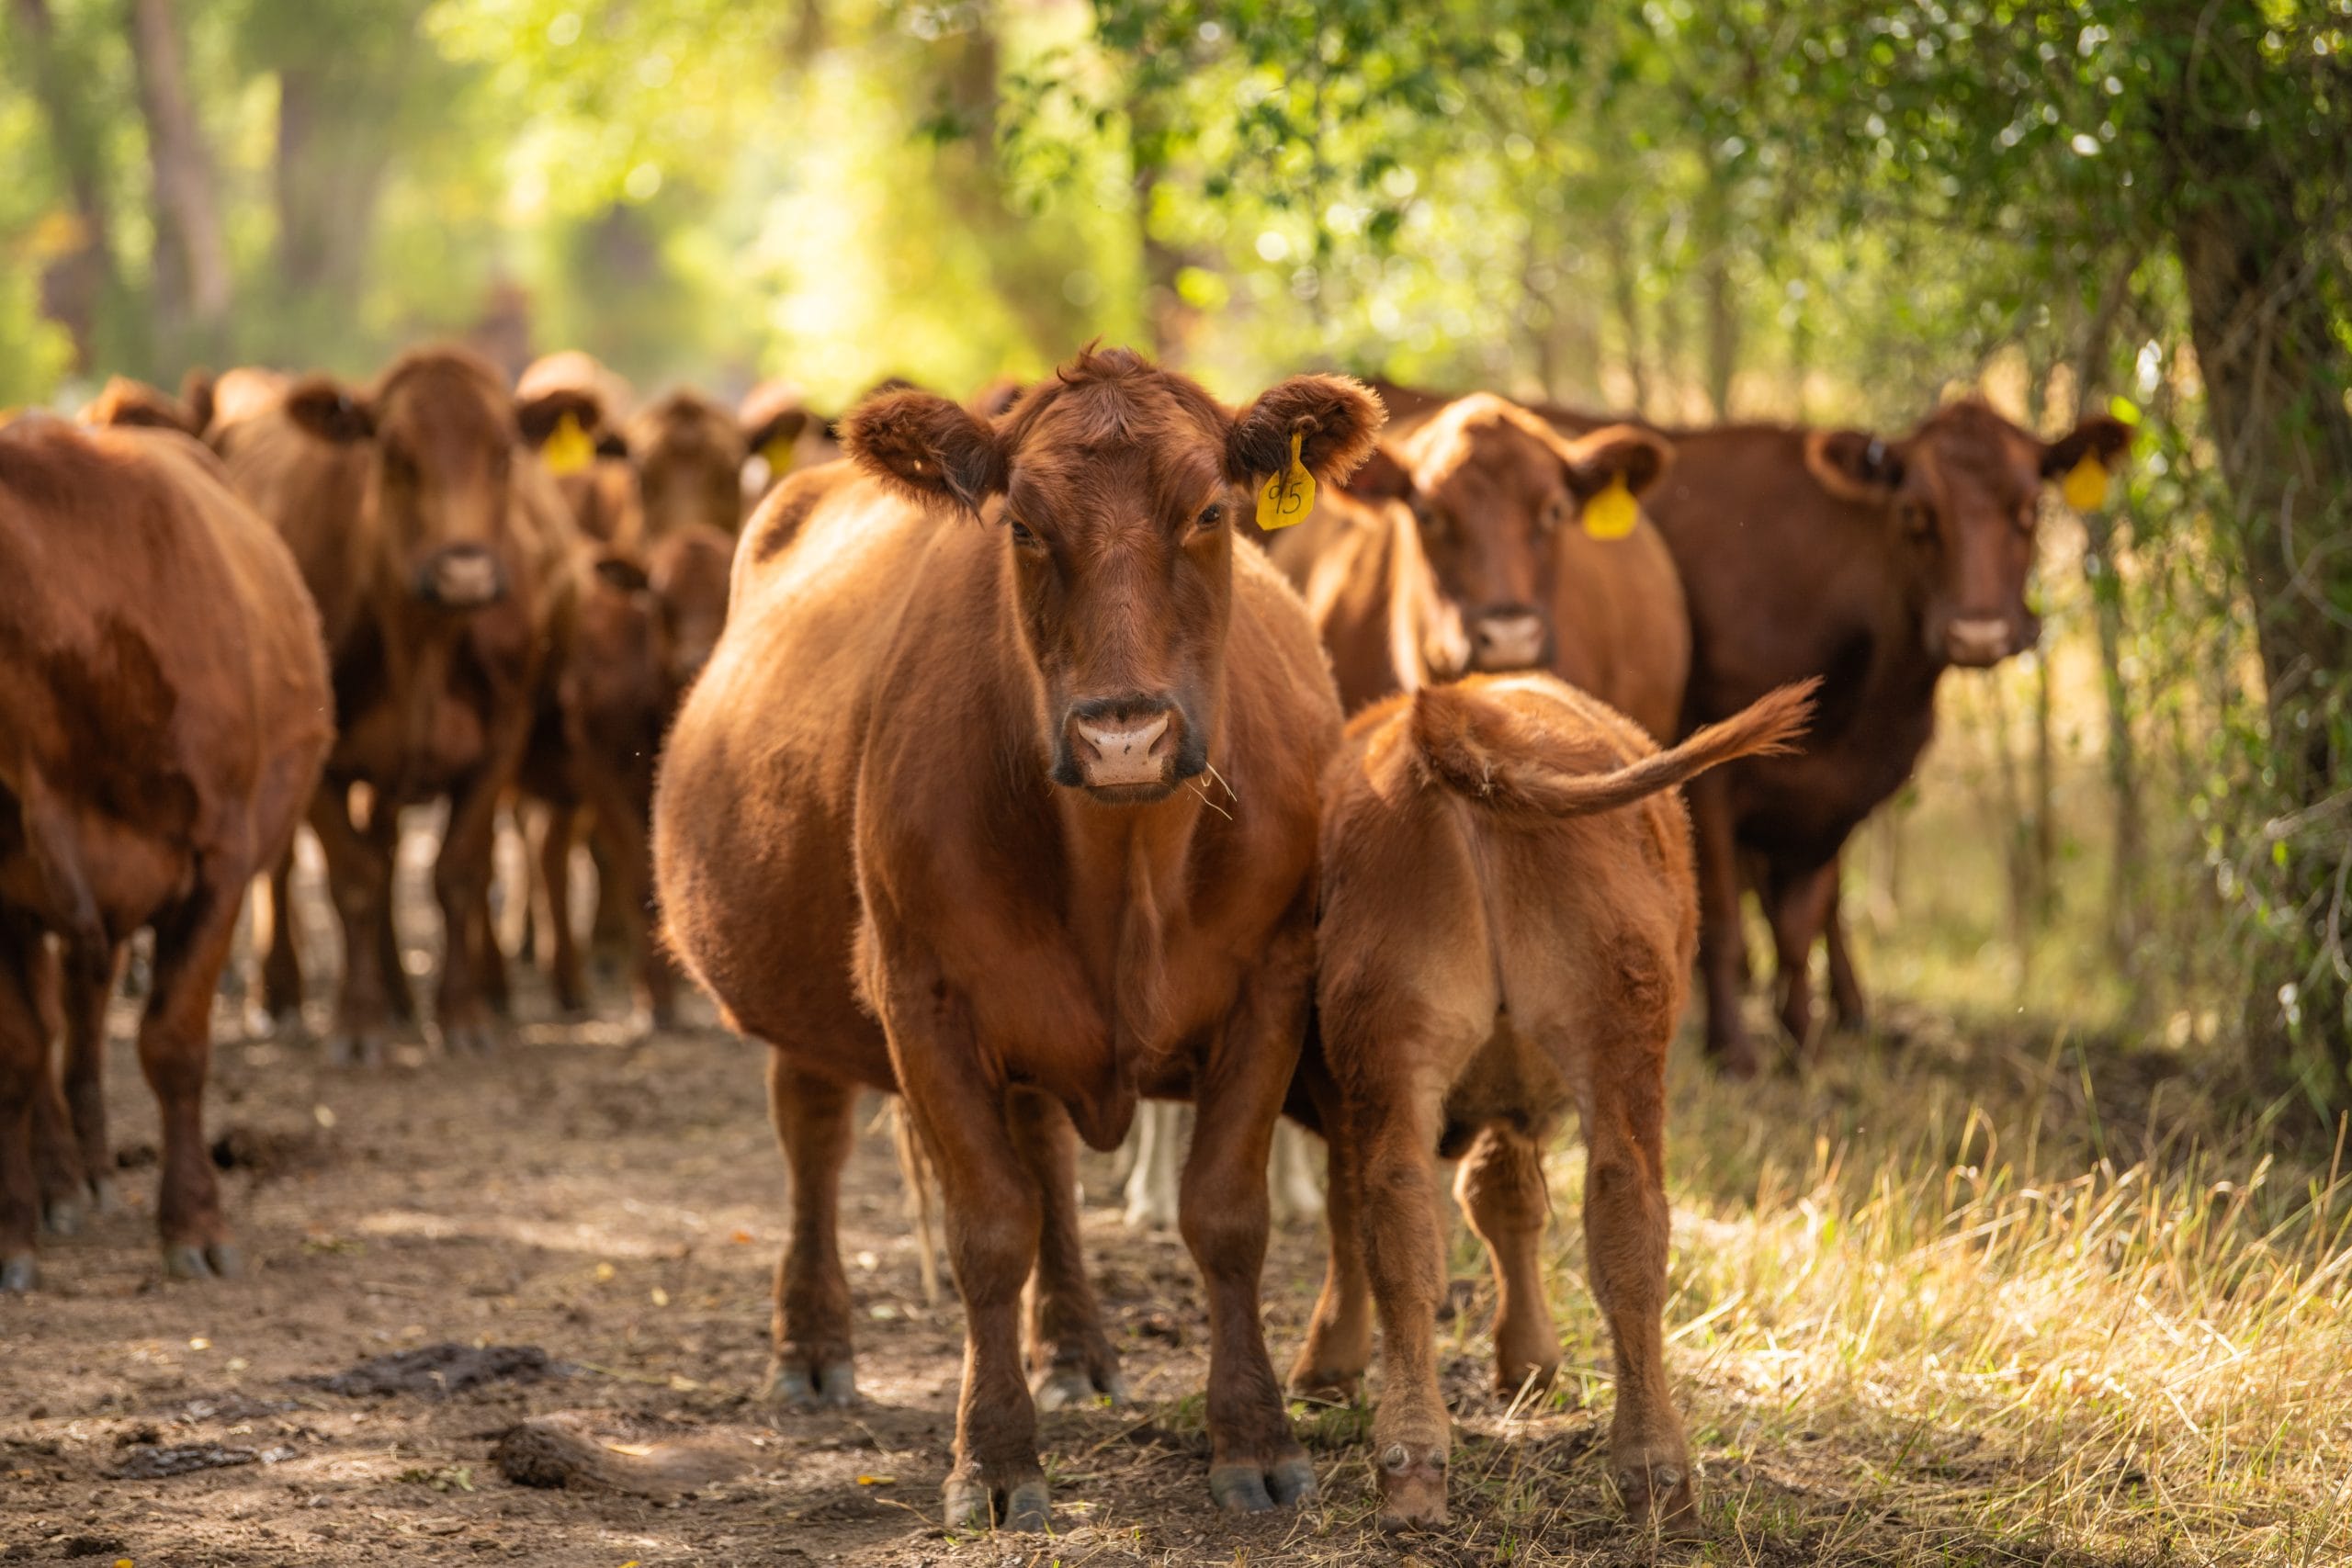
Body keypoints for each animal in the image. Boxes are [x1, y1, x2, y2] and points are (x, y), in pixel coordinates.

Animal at [0, 418, 332, 1289]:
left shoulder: (218, 866)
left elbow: (173, 1044)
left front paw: (194, 1223)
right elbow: (19, 1052)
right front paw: (12, 1236)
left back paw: (79, 1179)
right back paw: (58, 1181)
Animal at [216, 345, 578, 1065]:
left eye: (503, 453)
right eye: (393, 454)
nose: (464, 573)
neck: (423, 644)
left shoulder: (502, 738)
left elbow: (457, 871)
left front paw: (462, 1016)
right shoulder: (318, 758)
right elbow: (352, 877)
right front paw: (358, 1023)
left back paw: (402, 995)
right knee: (296, 866)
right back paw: (281, 994)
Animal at [655, 348, 1379, 1530]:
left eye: (1209, 511)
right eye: (1024, 527)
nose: (1124, 734)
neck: (1123, 866)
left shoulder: (1270, 984)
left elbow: (1224, 1215)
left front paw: (1256, 1441)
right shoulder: (920, 994)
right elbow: (989, 1228)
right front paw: (993, 1461)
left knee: (1043, 1149)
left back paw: (1075, 1350)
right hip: (804, 988)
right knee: (813, 1133)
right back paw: (811, 1347)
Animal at [1294, 671, 1812, 1528]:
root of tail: (1458, 707)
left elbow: (1472, 1202)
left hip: (1410, 1051)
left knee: (1401, 1210)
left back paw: (1419, 1458)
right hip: (1602, 1050)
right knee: (1621, 1214)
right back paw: (1652, 1467)